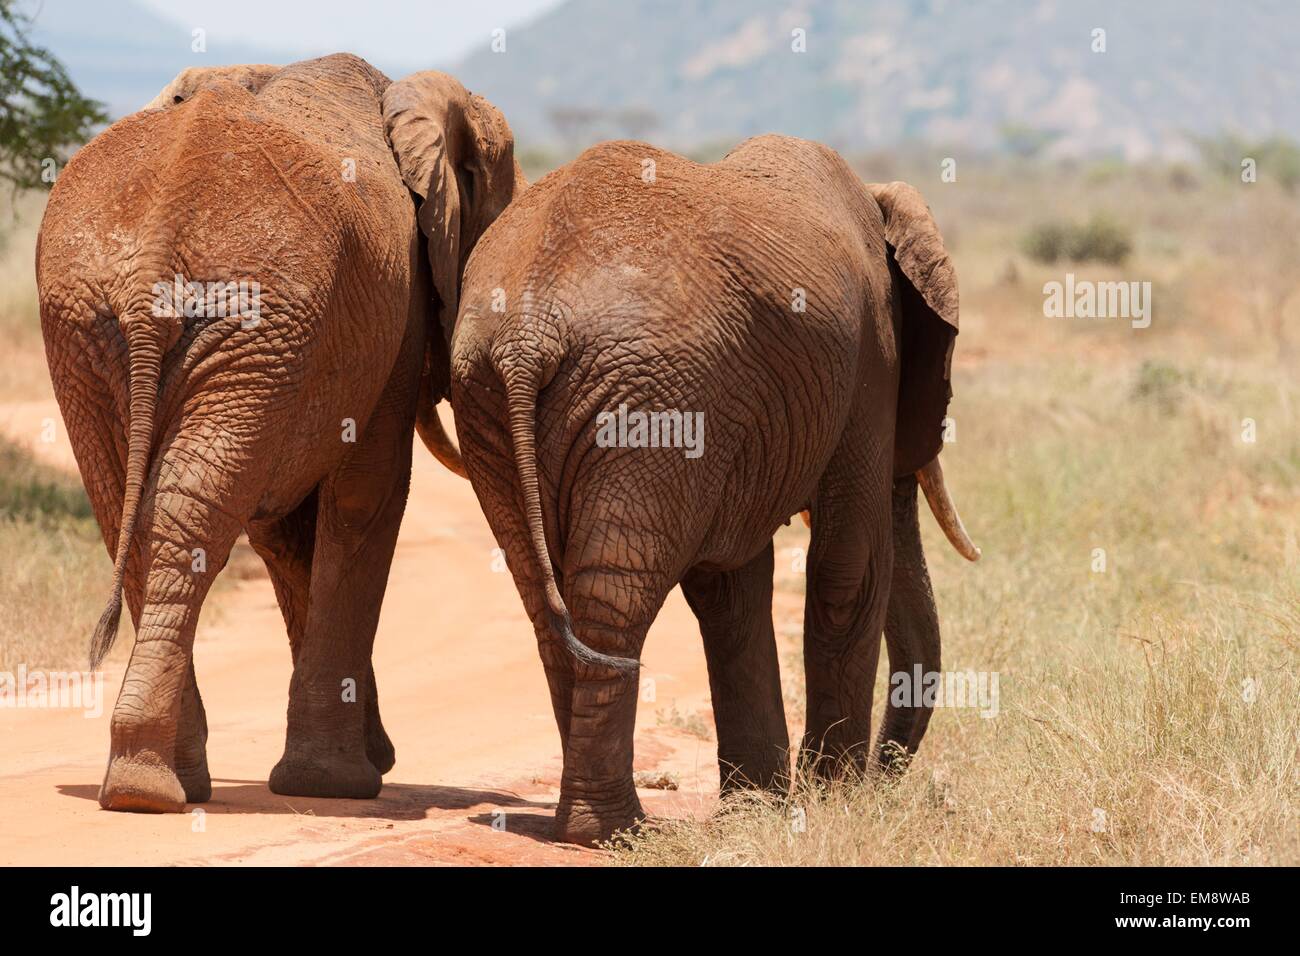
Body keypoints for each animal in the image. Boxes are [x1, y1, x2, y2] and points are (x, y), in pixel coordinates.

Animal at [36, 54, 520, 811]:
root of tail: (154, 246)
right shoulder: (393, 309)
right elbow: (368, 494)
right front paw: (342, 782)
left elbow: (289, 532)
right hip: (233, 319)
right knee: (184, 510)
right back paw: (156, 785)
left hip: (114, 325)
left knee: (135, 508)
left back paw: (152, 783)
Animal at [445, 136, 979, 845]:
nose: (880, 779)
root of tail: (528, 334)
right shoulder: (871, 364)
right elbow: (850, 567)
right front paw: (830, 801)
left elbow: (729, 586)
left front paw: (764, 804)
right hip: (651, 398)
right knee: (614, 594)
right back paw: (614, 831)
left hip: (499, 403)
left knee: (547, 598)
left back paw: (591, 823)